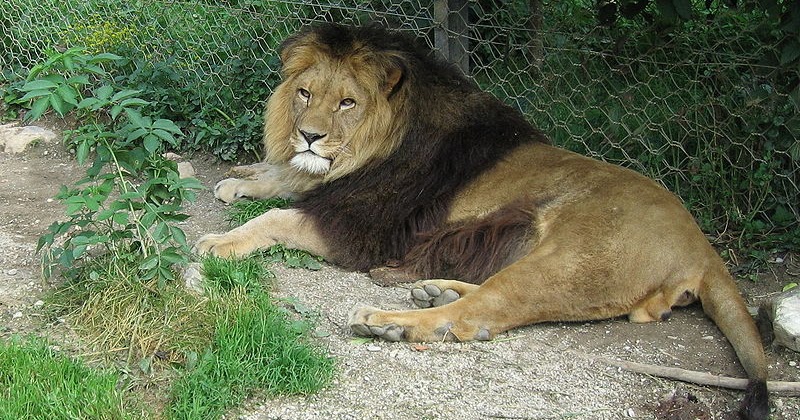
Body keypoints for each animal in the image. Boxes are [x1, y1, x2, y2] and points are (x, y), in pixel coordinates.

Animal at [195, 23, 768, 418]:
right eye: (305, 94)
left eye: (348, 103)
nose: (309, 136)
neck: (378, 146)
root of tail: (701, 245)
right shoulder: (335, 186)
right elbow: (283, 179)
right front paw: (241, 178)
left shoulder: (363, 229)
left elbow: (276, 217)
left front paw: (218, 240)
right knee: (481, 298)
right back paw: (434, 290)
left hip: (569, 262)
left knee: (478, 316)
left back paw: (388, 320)